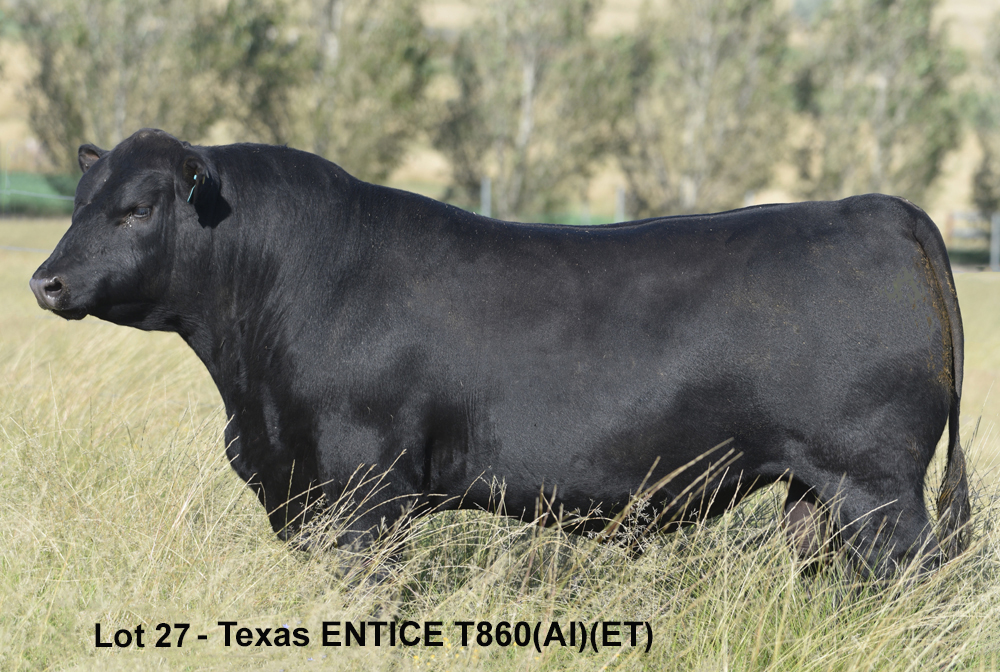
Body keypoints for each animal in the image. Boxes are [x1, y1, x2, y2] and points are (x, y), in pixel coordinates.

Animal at [30, 129, 970, 580]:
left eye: (137, 207)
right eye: (78, 200)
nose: (45, 281)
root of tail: (876, 207)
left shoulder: (362, 490)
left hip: (879, 486)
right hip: (817, 493)